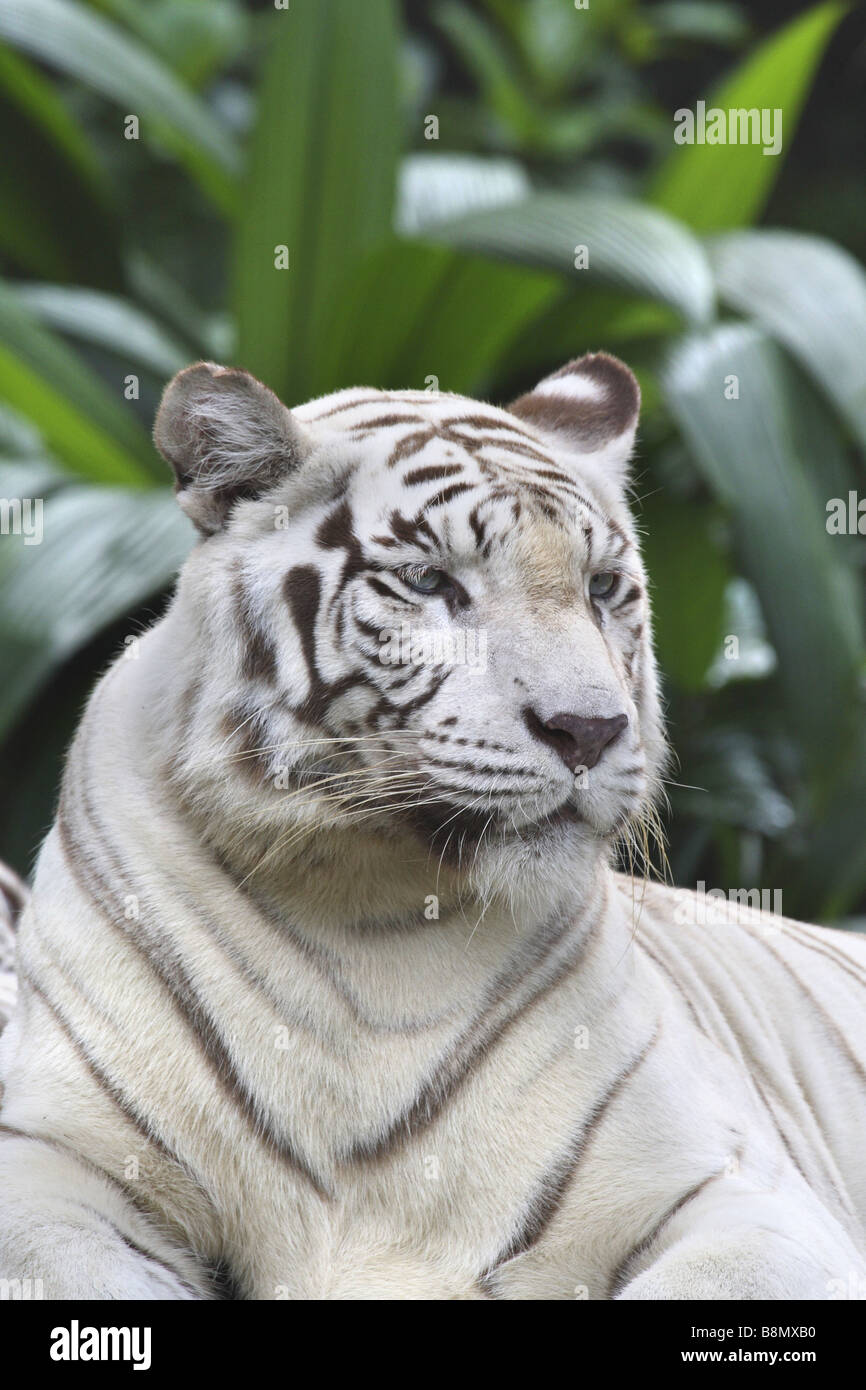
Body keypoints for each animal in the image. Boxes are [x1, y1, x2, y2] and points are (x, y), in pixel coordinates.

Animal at [0, 353, 864, 1301]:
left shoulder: (730, 1192)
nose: (589, 729)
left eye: (601, 588)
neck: (372, 912)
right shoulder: (54, 1157)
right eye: (428, 583)